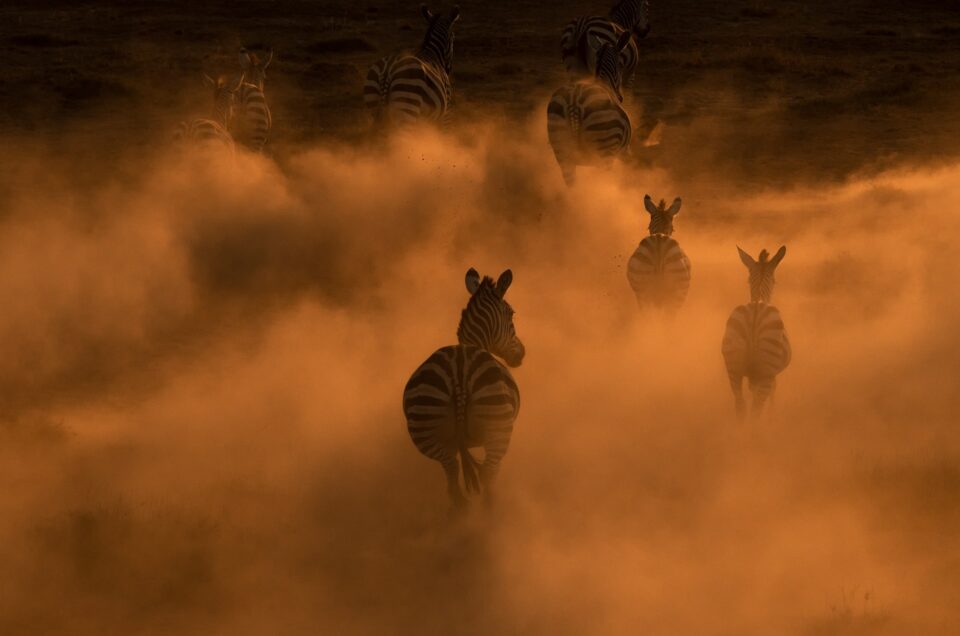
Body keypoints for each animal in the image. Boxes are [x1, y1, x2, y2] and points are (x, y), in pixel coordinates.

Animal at [403, 268, 524, 511]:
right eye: (511, 314)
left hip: (425, 430)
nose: (522, 353)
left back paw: (459, 514)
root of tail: (459, 371)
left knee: (452, 472)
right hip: (498, 430)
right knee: (488, 473)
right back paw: (491, 514)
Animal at [547, 32, 633, 185]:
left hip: (562, 151)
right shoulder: (623, 152)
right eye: (621, 65)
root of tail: (574, 101)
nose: (621, 97)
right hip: (604, 149)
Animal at [721, 246, 792, 419]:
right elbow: (772, 394)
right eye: (775, 281)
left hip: (733, 368)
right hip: (766, 369)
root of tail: (755, 312)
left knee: (740, 405)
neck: (759, 296)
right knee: (756, 409)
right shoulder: (771, 375)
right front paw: (772, 414)